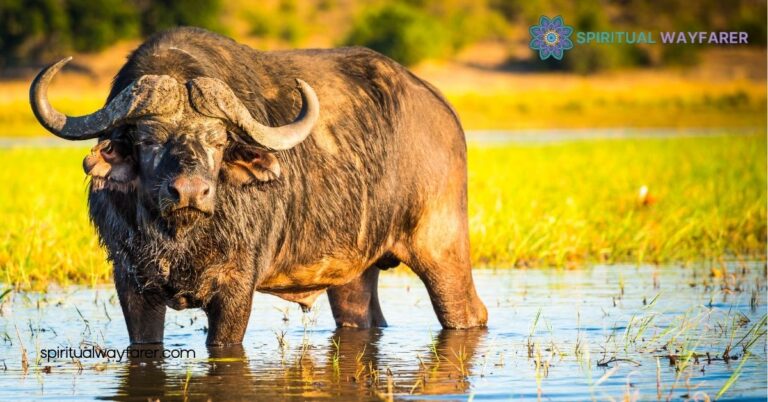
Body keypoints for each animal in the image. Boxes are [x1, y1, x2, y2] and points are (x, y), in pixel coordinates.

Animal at [30, 27, 487, 345]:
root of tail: (441, 109)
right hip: (353, 274)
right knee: (362, 317)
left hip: (442, 249)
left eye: (217, 141)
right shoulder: (132, 285)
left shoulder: (235, 289)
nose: (190, 192)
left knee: (469, 312)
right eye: (147, 139)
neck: (180, 238)